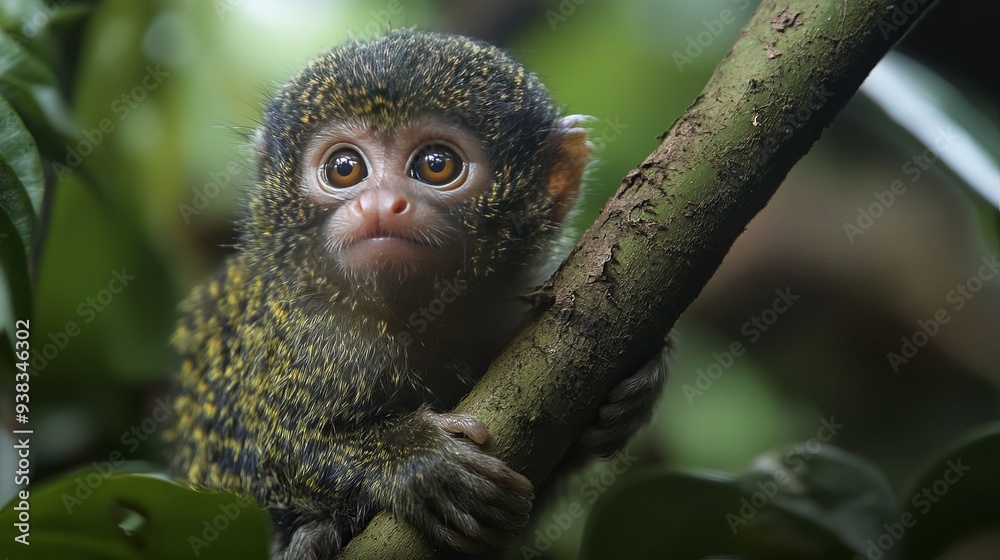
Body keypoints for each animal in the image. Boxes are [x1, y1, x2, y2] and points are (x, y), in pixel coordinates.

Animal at [166, 30, 668, 559]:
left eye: (436, 165)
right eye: (344, 168)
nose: (381, 204)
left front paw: (639, 384)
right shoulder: (307, 336)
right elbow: (273, 446)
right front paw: (414, 461)